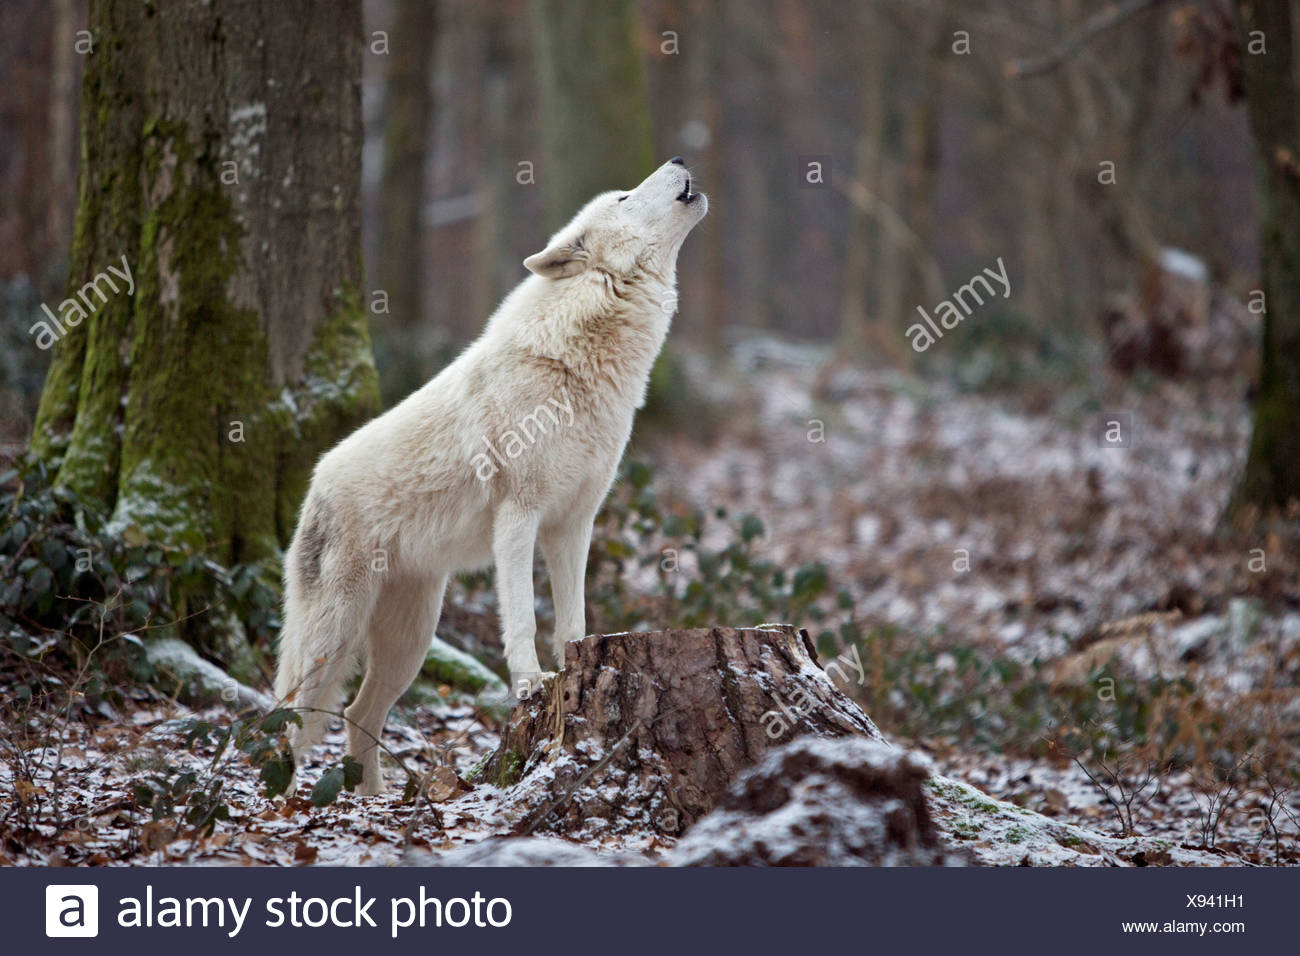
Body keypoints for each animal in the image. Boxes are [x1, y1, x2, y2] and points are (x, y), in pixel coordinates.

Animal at [273, 159, 707, 794]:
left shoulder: (574, 525)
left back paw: (371, 803)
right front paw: (531, 684)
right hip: (334, 638)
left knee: (358, 714)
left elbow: (572, 623)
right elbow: (523, 617)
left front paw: (573, 668)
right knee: (287, 722)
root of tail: (314, 485)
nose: (678, 161)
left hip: (411, 640)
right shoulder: (519, 517)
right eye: (625, 197)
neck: (580, 362)